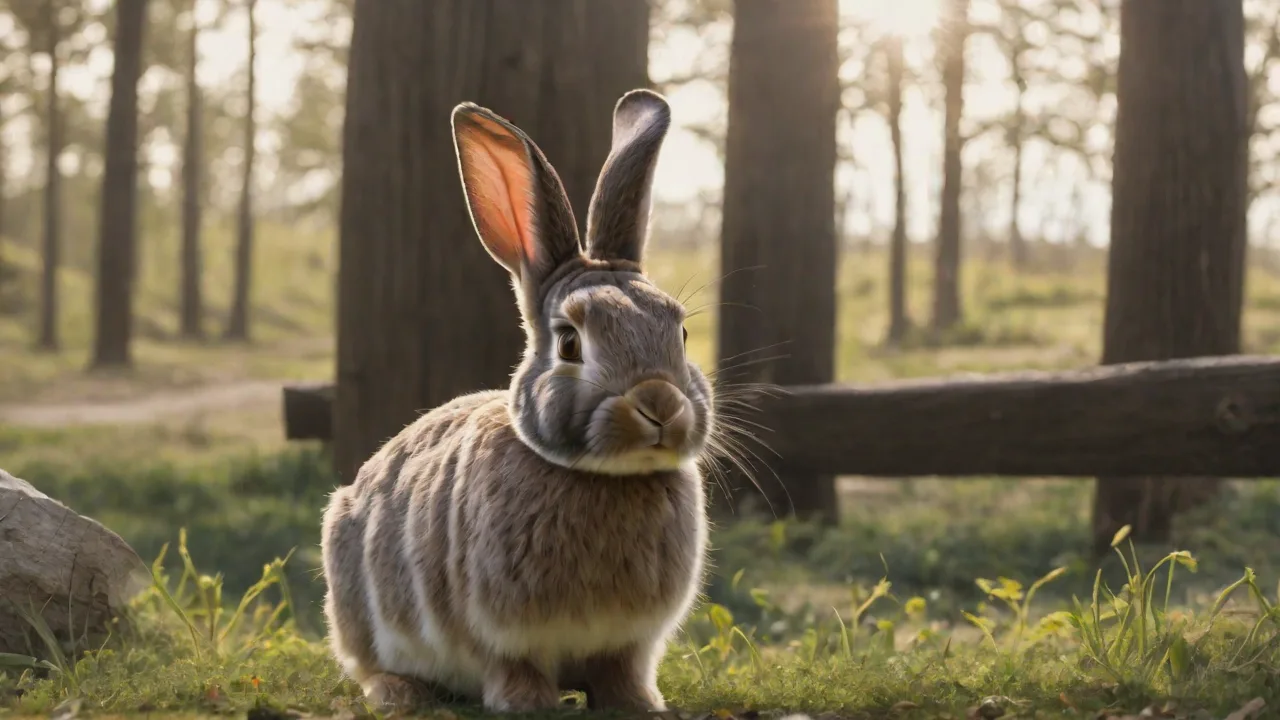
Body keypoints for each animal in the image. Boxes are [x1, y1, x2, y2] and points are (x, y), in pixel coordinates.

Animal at [320, 88, 714, 714]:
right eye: (570, 342)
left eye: (678, 331)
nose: (660, 404)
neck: (602, 476)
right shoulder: (502, 638)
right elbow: (514, 669)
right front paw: (527, 704)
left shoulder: (629, 643)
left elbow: (622, 671)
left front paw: (639, 704)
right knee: (365, 664)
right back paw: (397, 692)